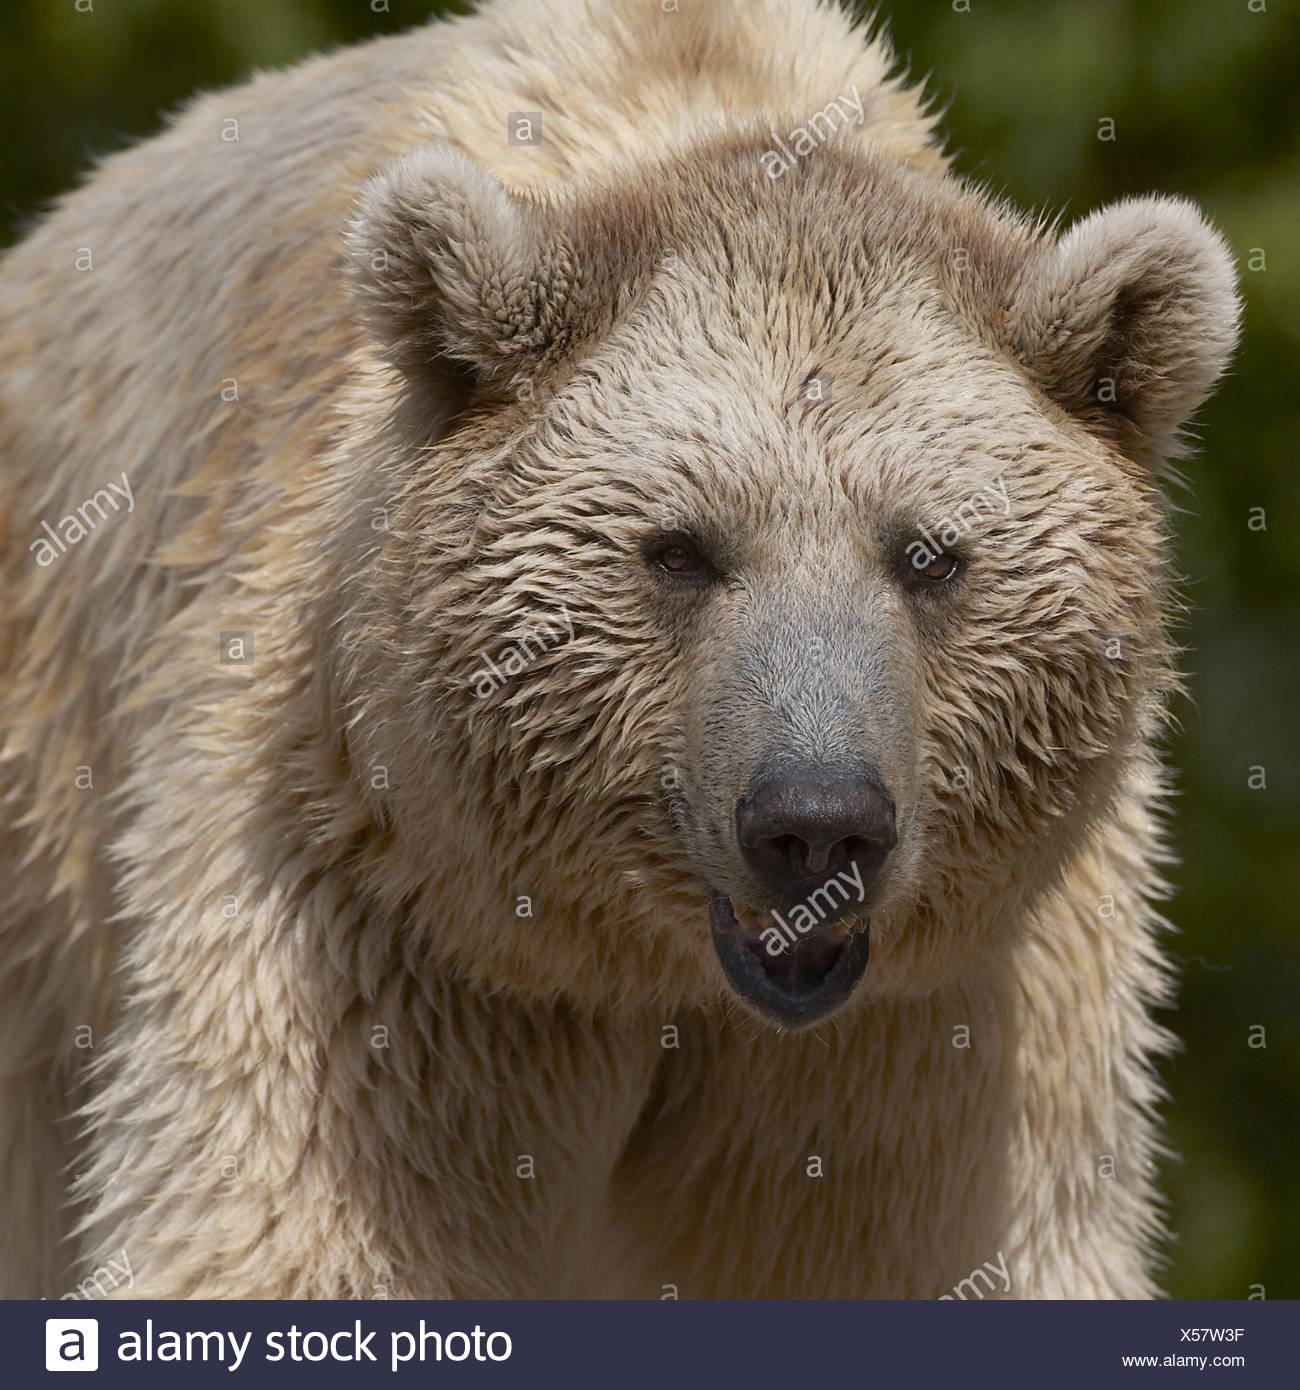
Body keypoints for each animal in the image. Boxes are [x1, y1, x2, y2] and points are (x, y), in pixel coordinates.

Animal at [0, 0, 1238, 1299]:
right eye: (680, 550)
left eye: (928, 554)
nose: (814, 822)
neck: (647, 975)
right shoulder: (369, 922)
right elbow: (279, 1227)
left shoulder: (936, 1035)